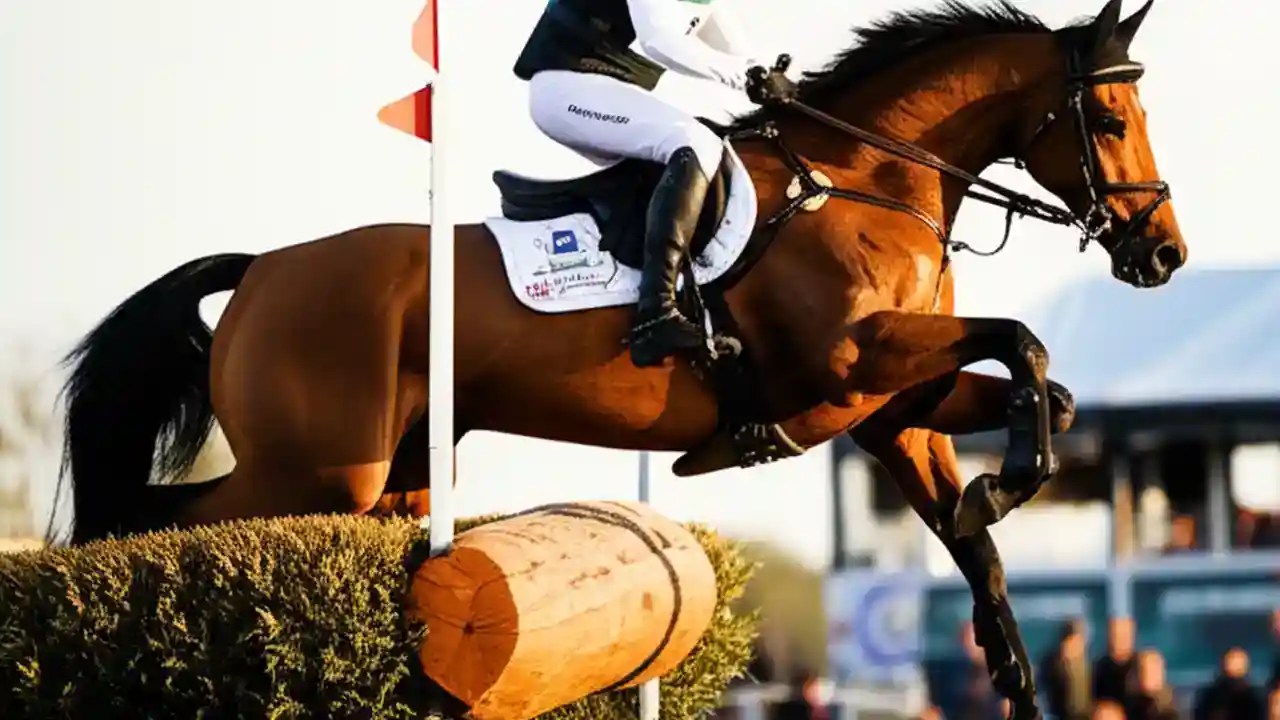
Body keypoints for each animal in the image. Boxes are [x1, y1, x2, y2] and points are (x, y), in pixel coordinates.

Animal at [55, 1, 1182, 717]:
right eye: (1109, 118)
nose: (1160, 255)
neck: (871, 180)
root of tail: (261, 269)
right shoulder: (855, 362)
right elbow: (1024, 343)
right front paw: (1008, 486)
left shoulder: (893, 406)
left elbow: (1012, 457)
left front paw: (1008, 647)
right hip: (322, 471)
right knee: (152, 527)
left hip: (394, 480)